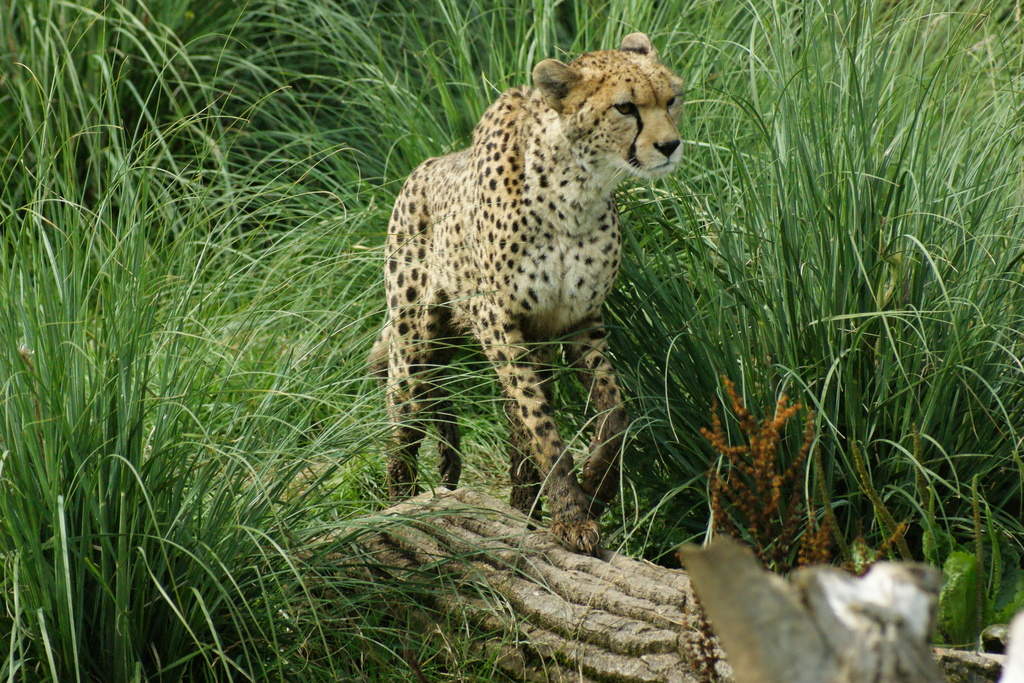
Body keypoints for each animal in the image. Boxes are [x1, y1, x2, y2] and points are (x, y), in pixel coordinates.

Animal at [369, 32, 683, 555]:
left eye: (672, 99)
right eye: (625, 107)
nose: (671, 145)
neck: (576, 191)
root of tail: (424, 167)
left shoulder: (580, 320)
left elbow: (616, 417)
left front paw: (596, 489)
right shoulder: (498, 318)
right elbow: (542, 426)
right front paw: (573, 516)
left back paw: (518, 507)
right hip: (413, 340)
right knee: (405, 424)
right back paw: (402, 505)